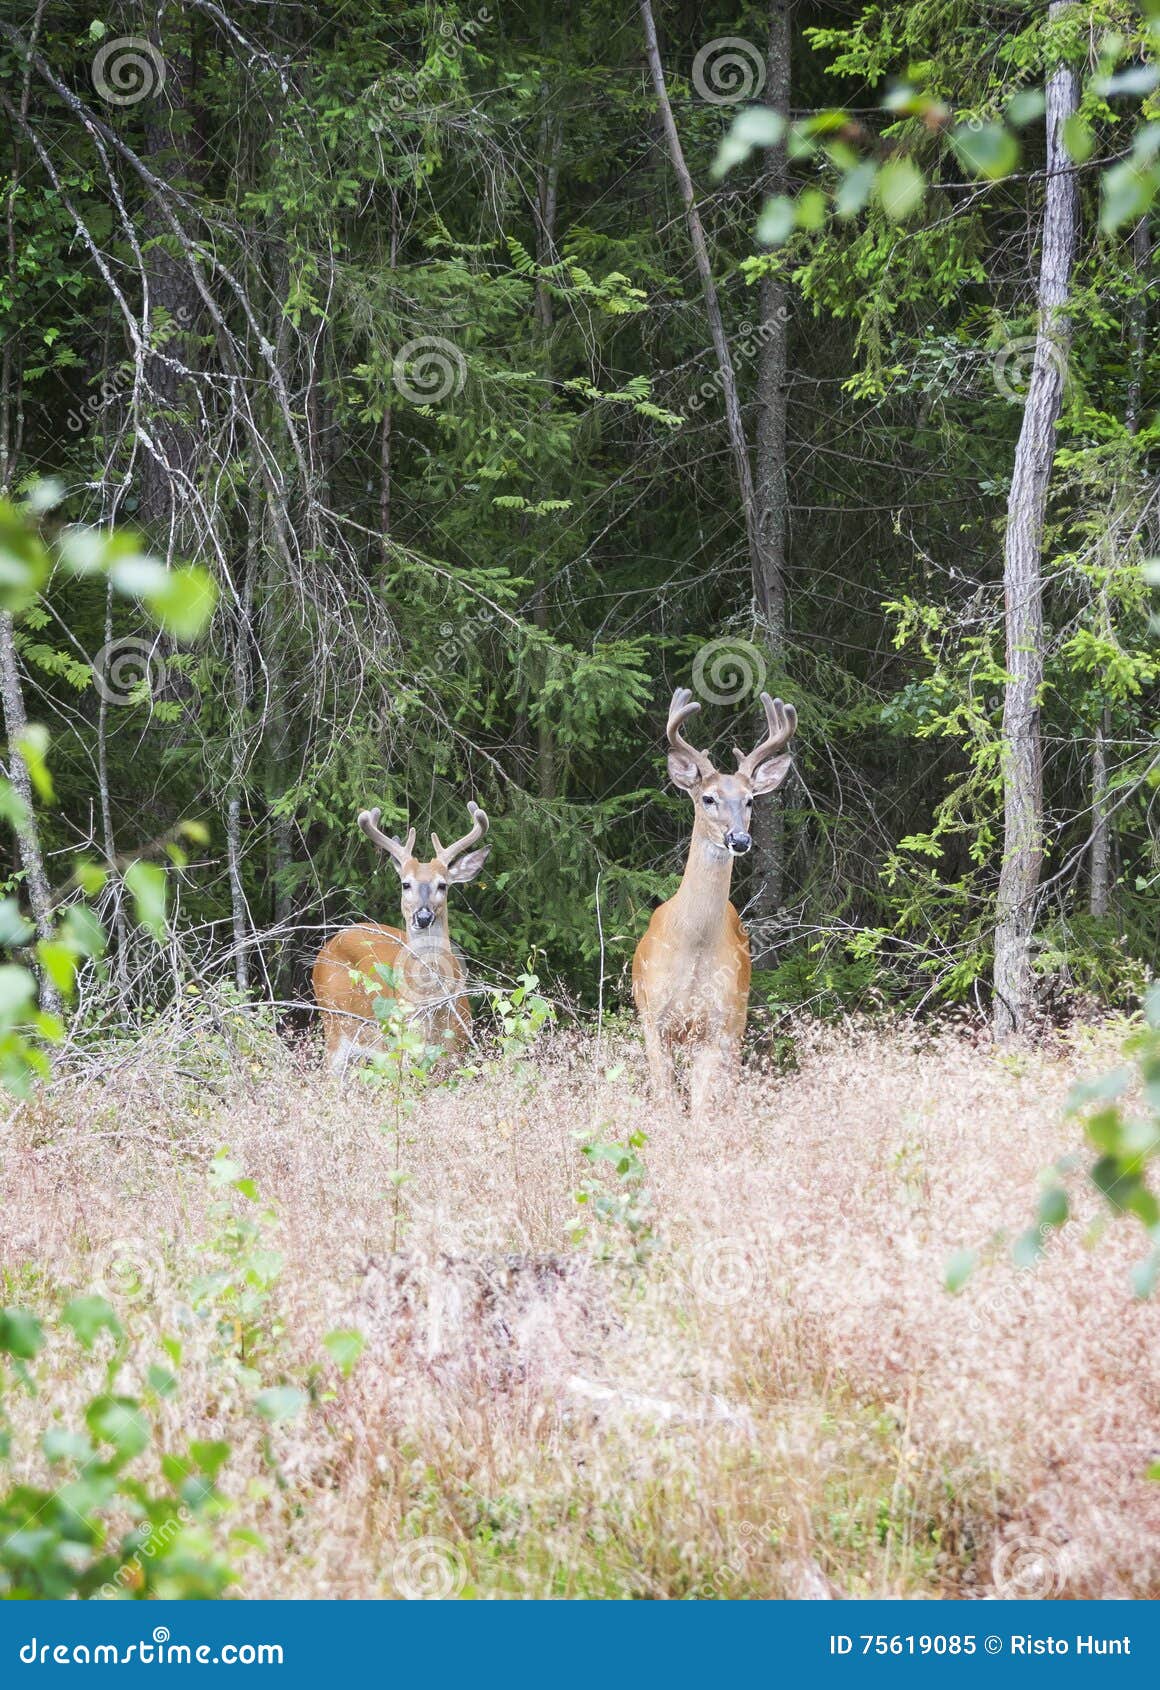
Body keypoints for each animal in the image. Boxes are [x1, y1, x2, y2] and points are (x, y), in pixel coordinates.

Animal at [312, 800, 491, 1075]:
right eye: (406, 884)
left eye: (443, 885)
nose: (423, 916)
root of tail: (329, 944)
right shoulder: (402, 1052)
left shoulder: (457, 1051)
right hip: (334, 1023)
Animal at [632, 686, 797, 1111]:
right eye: (708, 798)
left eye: (750, 800)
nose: (739, 839)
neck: (692, 945)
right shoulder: (653, 1017)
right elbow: (667, 1102)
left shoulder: (714, 1023)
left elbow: (701, 1110)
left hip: (737, 1016)